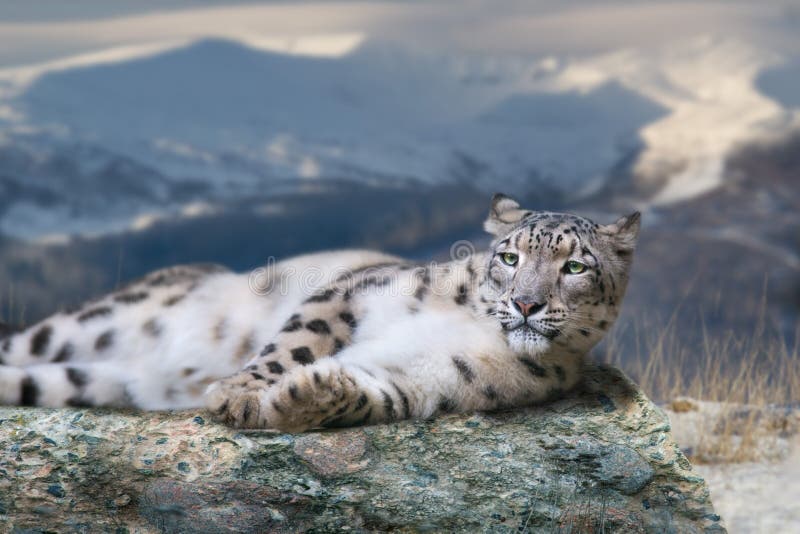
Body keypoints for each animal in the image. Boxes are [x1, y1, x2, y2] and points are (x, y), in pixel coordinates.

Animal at [0, 194, 640, 432]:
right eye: (509, 257)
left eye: (573, 267)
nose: (525, 303)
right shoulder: (349, 292)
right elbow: (294, 344)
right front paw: (237, 394)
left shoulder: (429, 378)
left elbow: (372, 392)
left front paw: (309, 394)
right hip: (89, 322)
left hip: (87, 379)